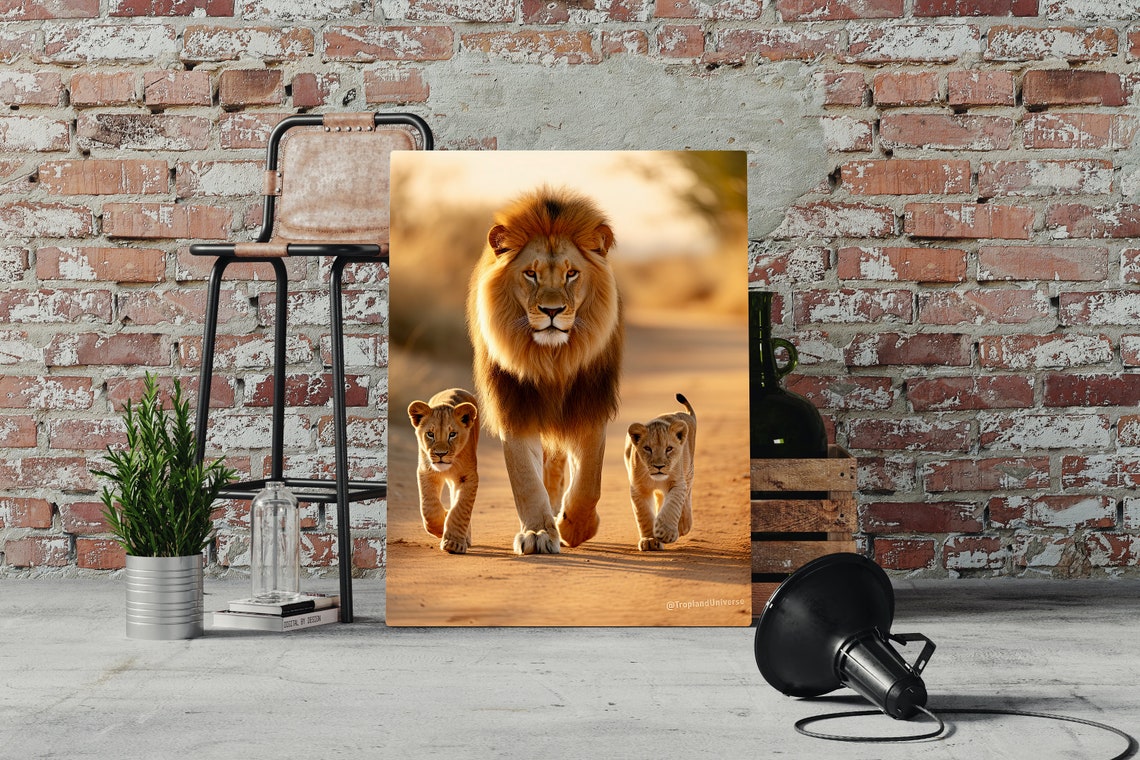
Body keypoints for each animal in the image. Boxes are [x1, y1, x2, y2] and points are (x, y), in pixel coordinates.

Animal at [407, 388, 480, 554]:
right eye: (430, 434)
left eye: (452, 434)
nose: (440, 454)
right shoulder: (426, 471)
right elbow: (429, 509)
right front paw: (443, 523)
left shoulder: (468, 477)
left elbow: (461, 509)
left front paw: (454, 543)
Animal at [467, 186, 622, 555]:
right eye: (531, 273)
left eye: (571, 273)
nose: (552, 311)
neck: (552, 360)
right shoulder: (515, 406)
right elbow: (526, 479)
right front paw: (538, 531)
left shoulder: (589, 403)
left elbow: (590, 478)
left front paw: (576, 527)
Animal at [624, 394, 696, 552]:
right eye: (647, 448)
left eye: (669, 449)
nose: (659, 466)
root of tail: (686, 415)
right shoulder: (639, 488)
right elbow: (644, 514)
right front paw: (650, 540)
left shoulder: (678, 483)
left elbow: (672, 505)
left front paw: (665, 533)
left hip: (688, 472)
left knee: (687, 496)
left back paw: (683, 525)